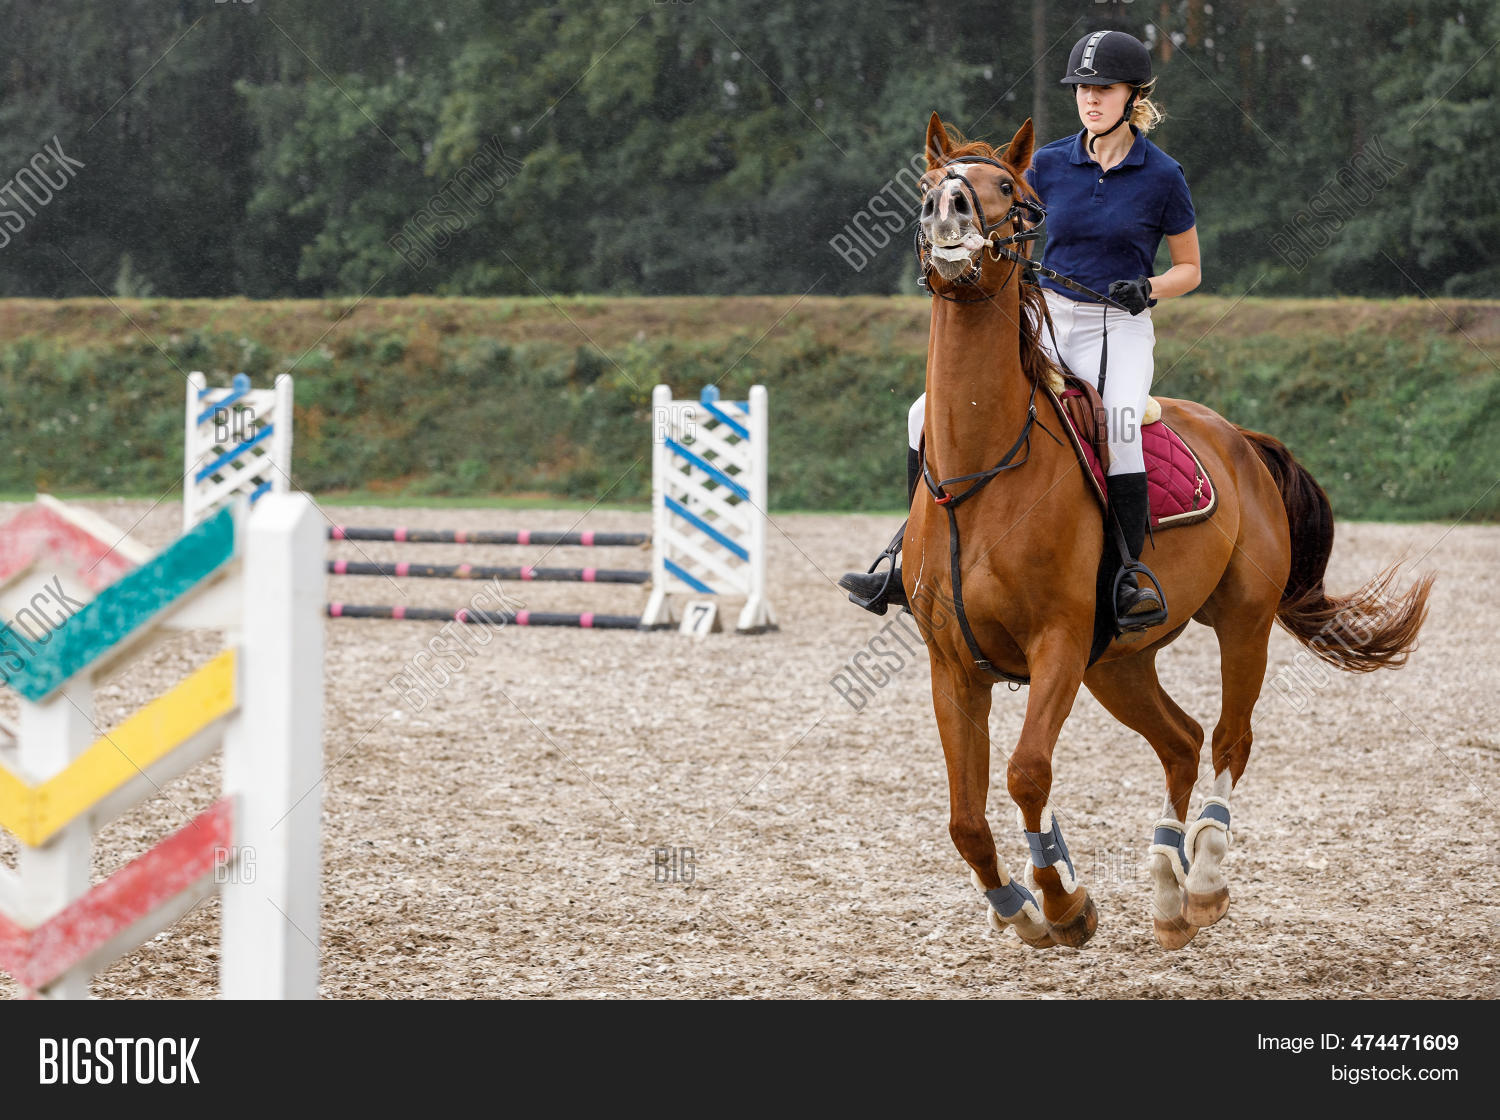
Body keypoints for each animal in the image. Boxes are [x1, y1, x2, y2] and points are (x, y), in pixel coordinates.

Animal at [904, 113, 1433, 949]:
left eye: (1010, 190)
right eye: (928, 184)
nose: (945, 214)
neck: (977, 479)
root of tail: (1239, 437)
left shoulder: (1058, 642)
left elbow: (1026, 771)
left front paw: (1064, 901)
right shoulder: (953, 665)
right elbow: (964, 818)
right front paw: (1019, 906)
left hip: (1241, 621)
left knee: (1227, 739)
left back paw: (1205, 878)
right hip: (1118, 665)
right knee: (1180, 741)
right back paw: (1165, 889)